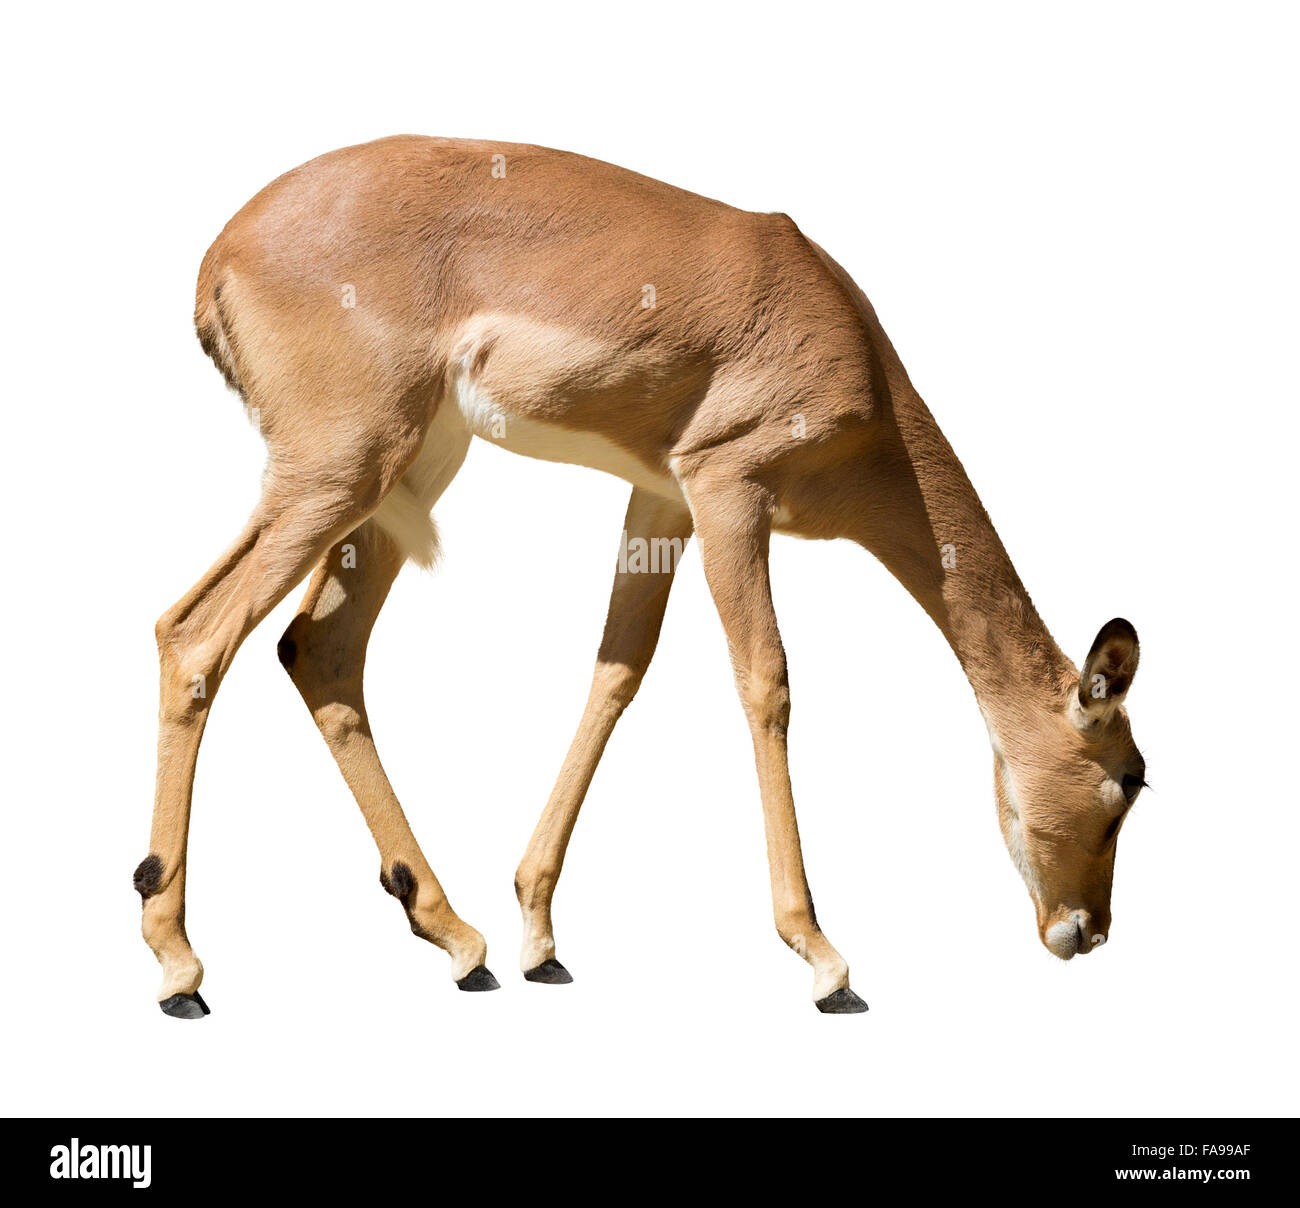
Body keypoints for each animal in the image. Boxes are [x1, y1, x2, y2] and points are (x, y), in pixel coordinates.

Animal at [138, 135, 1146, 1018]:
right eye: (1129, 780)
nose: (1085, 932)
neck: (849, 349)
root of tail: (222, 252)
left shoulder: (662, 501)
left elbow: (618, 670)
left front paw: (540, 936)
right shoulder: (731, 490)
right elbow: (767, 681)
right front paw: (824, 959)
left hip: (400, 479)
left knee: (319, 649)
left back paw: (460, 941)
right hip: (337, 475)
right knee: (192, 633)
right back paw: (181, 967)